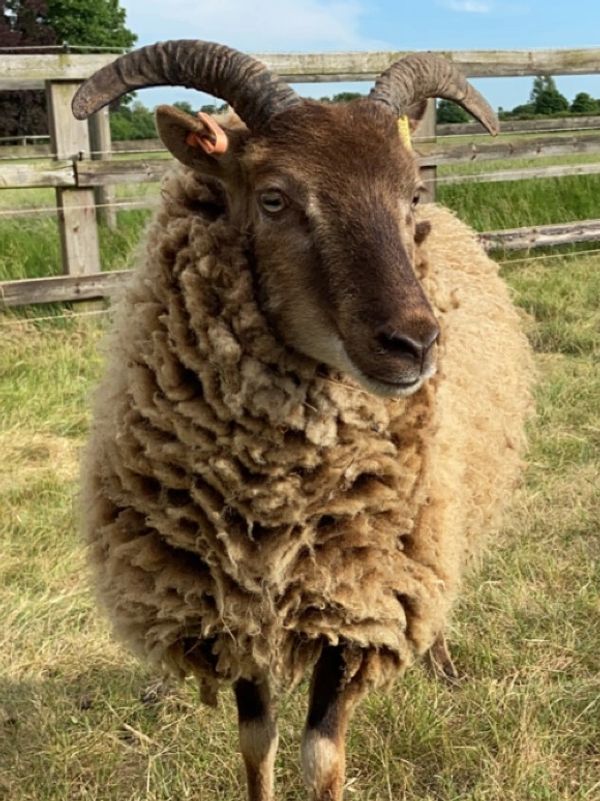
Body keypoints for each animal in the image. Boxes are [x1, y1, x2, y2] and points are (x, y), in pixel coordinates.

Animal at [74, 41, 533, 801]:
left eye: (411, 194)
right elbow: (256, 742)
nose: (415, 343)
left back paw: (443, 664)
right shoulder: (228, 606)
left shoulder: (361, 602)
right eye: (274, 198)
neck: (275, 499)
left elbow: (322, 756)